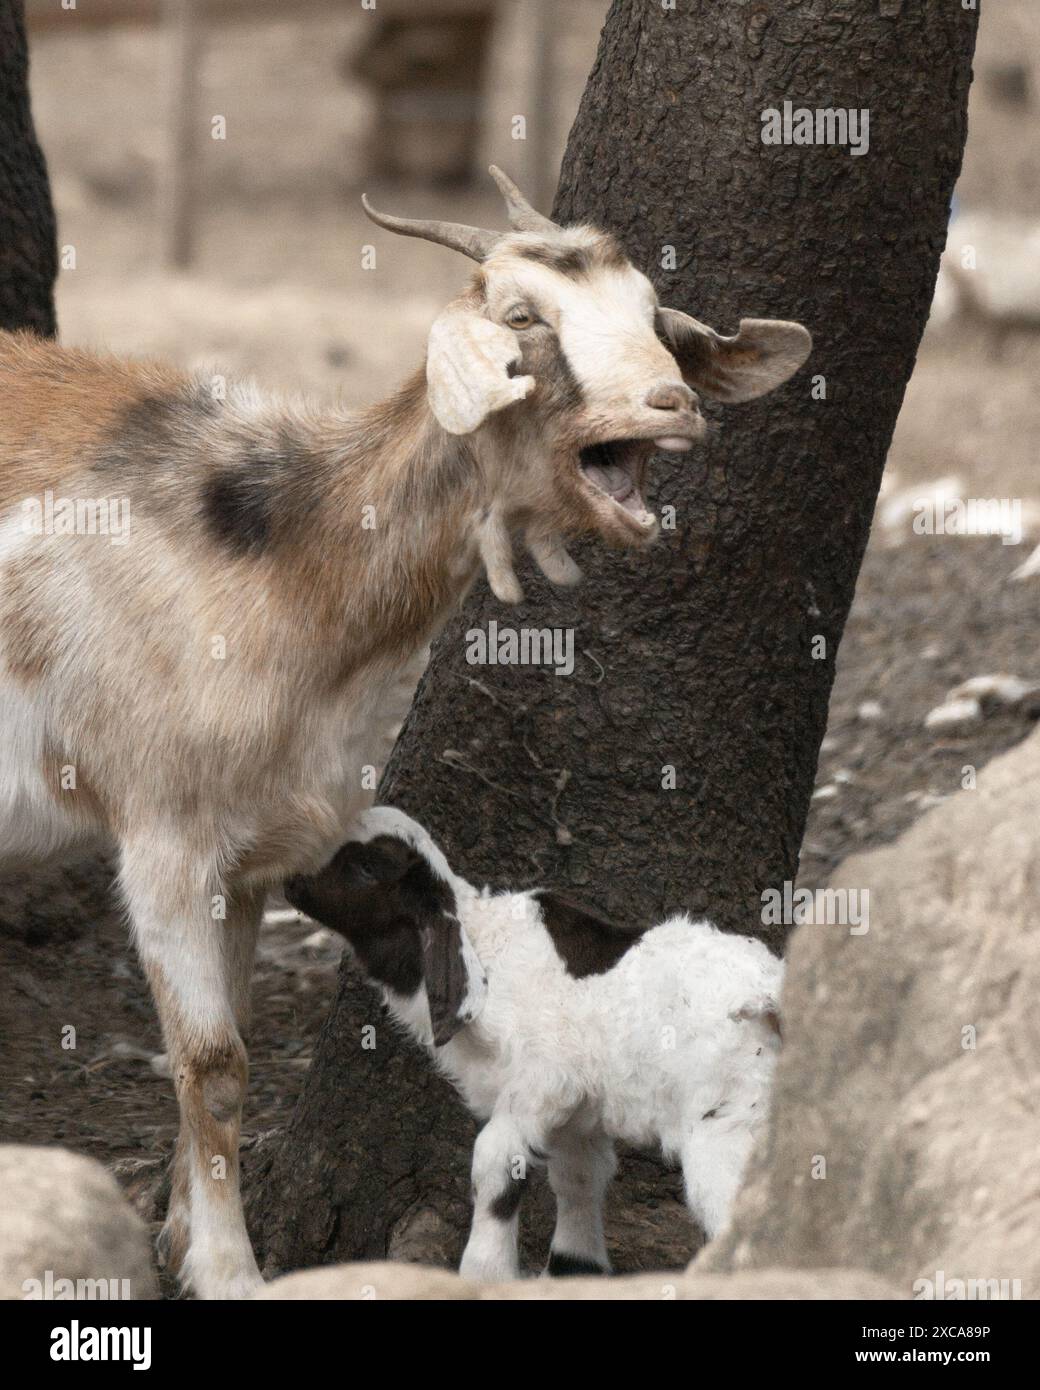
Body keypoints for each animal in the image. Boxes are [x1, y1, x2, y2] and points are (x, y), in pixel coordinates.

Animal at [284, 808, 784, 1282]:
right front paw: (573, 1269)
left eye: (367, 866)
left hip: (728, 1125)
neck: (485, 950)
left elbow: (495, 1167)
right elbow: (580, 1176)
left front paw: (485, 1275)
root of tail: (774, 998)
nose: (290, 877)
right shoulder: (580, 1111)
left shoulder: (540, 1082)